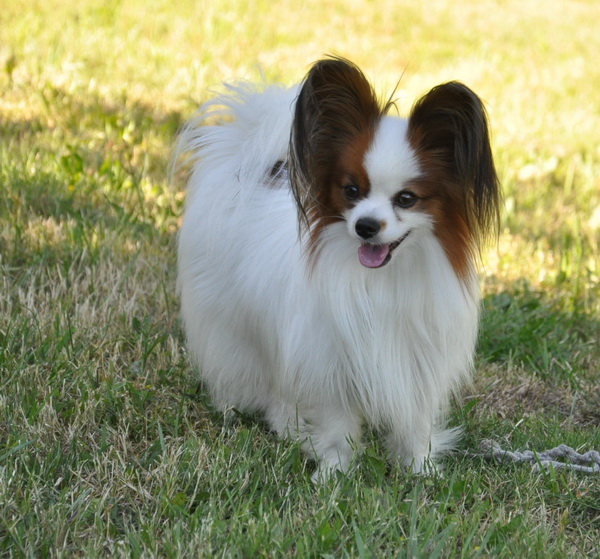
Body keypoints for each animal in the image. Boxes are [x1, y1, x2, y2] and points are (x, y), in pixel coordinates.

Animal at [175, 57, 502, 480]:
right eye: (352, 190)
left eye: (406, 199)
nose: (366, 226)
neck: (384, 280)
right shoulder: (328, 359)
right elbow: (337, 423)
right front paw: (333, 472)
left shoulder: (418, 358)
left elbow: (415, 421)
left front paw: (420, 469)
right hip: (240, 325)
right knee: (264, 378)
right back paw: (283, 423)